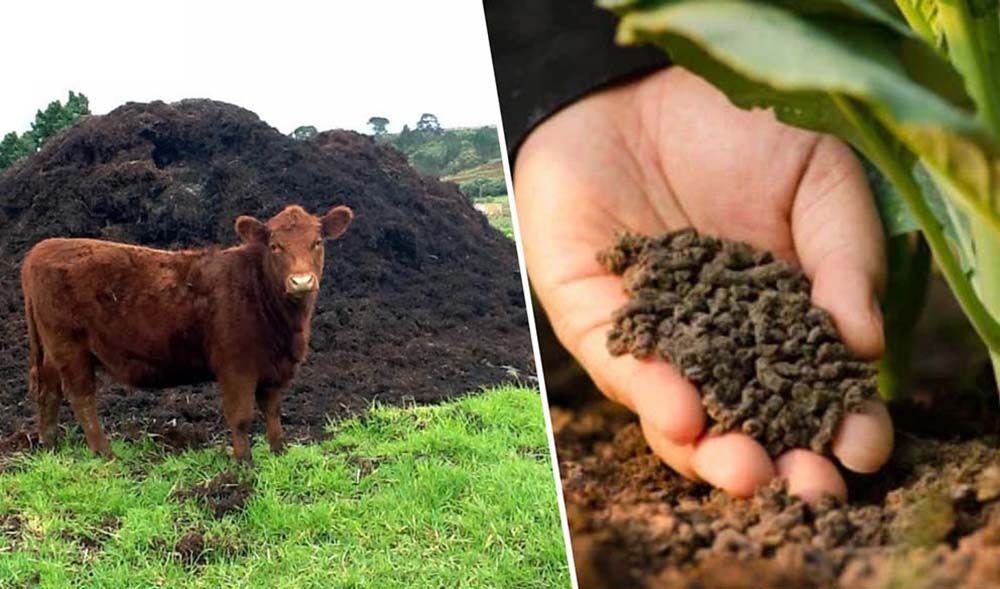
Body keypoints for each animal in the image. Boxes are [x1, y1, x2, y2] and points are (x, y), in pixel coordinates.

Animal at [20, 204, 353, 461]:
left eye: (317, 242)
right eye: (275, 246)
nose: (301, 281)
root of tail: (42, 247)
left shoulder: (274, 368)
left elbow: (272, 411)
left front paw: (279, 452)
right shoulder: (236, 366)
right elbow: (241, 417)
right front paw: (244, 463)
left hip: (53, 350)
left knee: (49, 390)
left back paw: (50, 445)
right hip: (70, 346)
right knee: (82, 397)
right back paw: (105, 454)